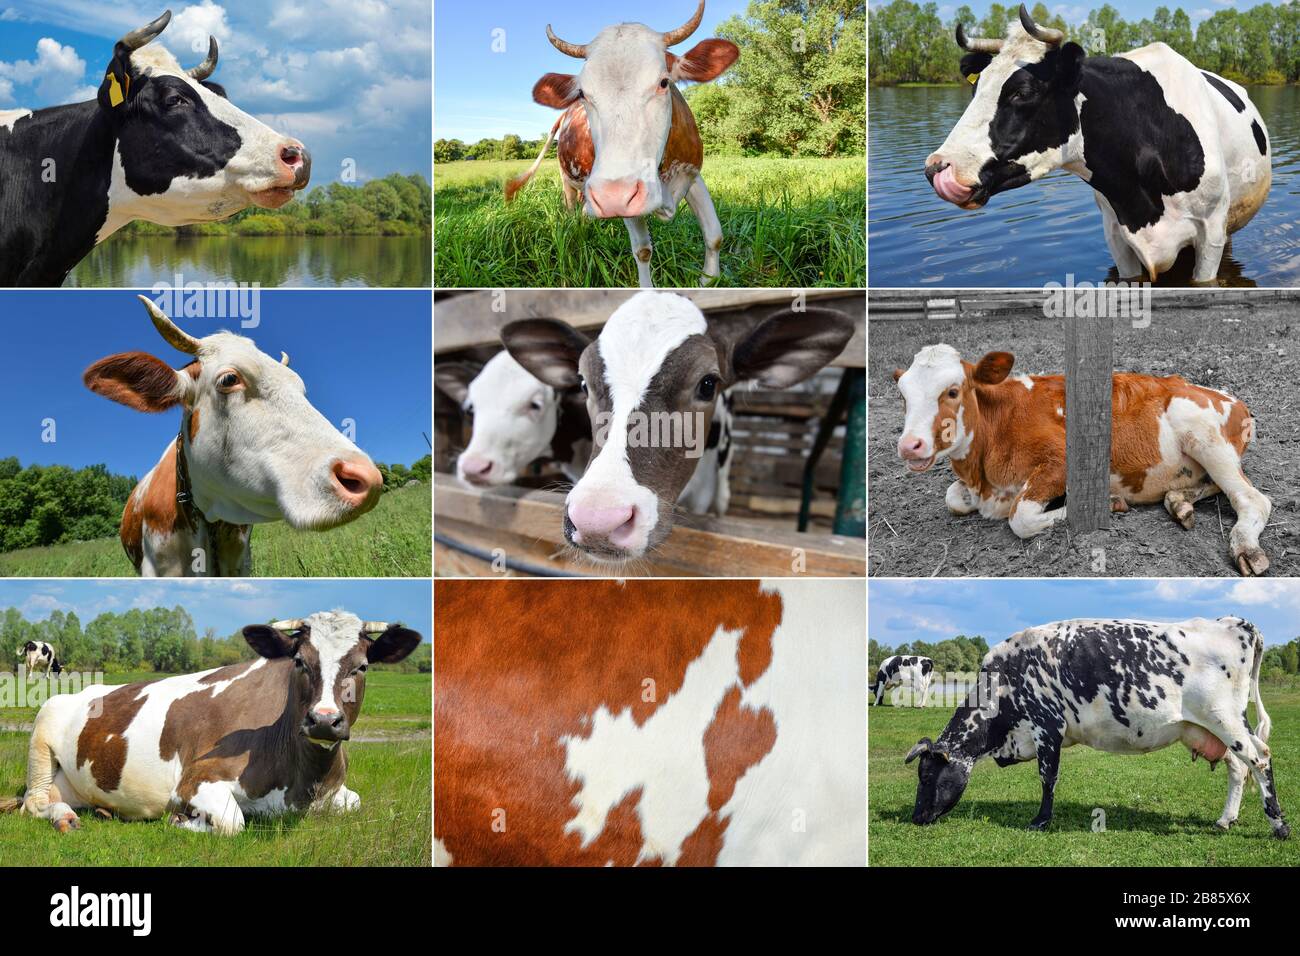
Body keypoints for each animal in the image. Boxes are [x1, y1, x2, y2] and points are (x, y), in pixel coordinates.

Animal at [0, 611, 421, 834]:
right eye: (300, 661)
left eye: (362, 666)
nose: (323, 720)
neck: (304, 783)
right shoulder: (196, 779)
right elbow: (235, 821)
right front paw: (180, 820)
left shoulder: (338, 791)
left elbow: (356, 802)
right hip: (41, 734)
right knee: (34, 803)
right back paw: (65, 820)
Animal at [504, 1, 739, 288]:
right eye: (583, 93)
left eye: (664, 82)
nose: (610, 196)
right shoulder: (627, 205)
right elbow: (643, 250)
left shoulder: (692, 173)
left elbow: (714, 235)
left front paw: (708, 280)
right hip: (567, 179)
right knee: (571, 210)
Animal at [893, 343, 1271, 576]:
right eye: (904, 397)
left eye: (952, 392)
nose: (909, 445)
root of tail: (1231, 398)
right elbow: (953, 498)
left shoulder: (1061, 460)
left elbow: (1021, 518)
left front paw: (1108, 503)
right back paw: (1179, 503)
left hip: (1204, 435)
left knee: (1253, 498)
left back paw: (1246, 548)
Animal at [907, 617, 1290, 839]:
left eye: (926, 776)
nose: (915, 817)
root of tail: (1235, 622)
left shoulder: (1047, 727)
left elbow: (1047, 778)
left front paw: (1040, 821)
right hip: (1218, 726)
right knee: (1240, 768)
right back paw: (1226, 819)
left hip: (1224, 718)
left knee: (1260, 758)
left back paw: (1279, 825)